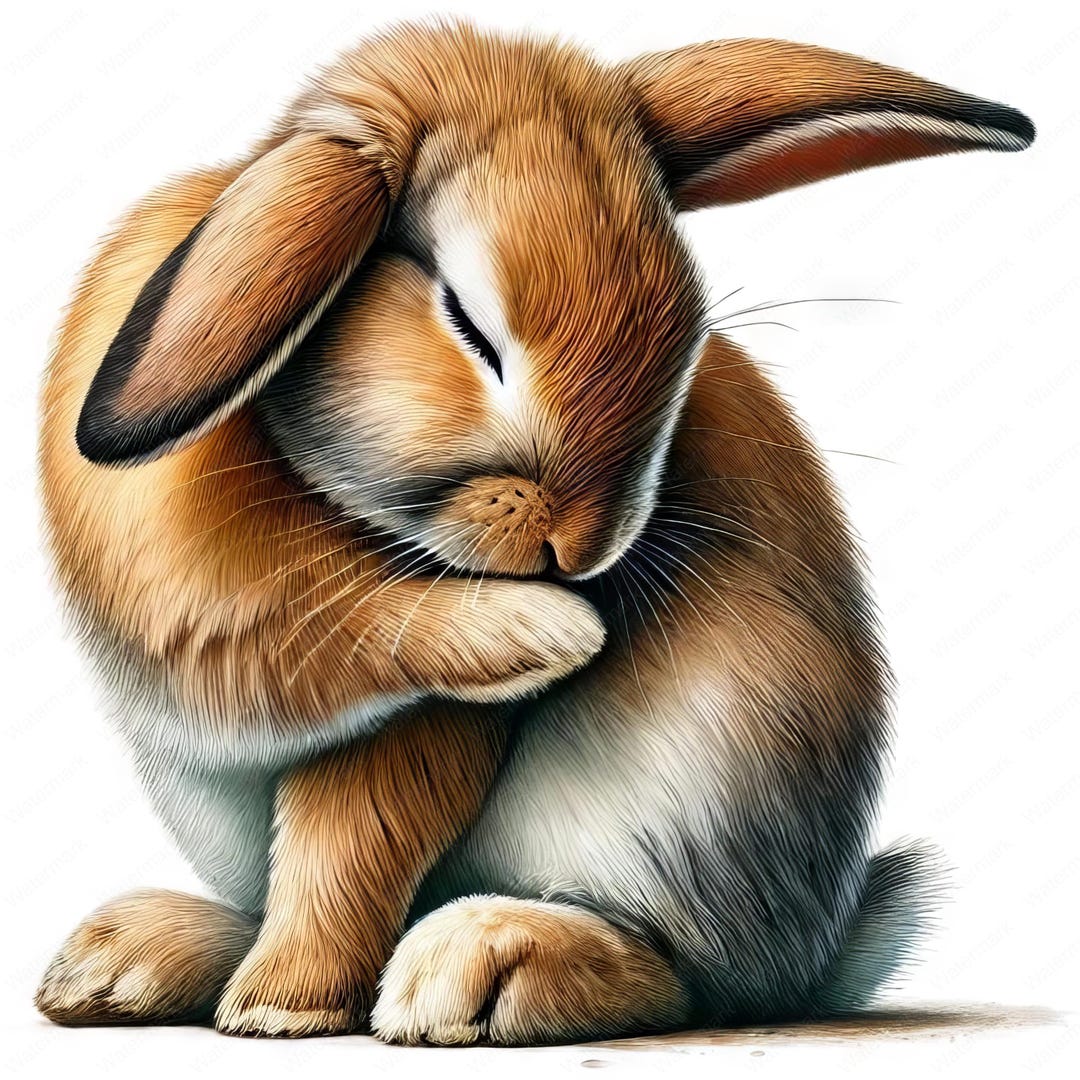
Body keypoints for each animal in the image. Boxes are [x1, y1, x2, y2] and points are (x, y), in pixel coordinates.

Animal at [35, 21, 1033, 1043]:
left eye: (685, 329)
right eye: (469, 325)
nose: (582, 553)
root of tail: (824, 950)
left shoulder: (424, 730)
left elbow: (346, 848)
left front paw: (281, 1009)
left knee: (691, 981)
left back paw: (474, 971)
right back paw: (117, 963)